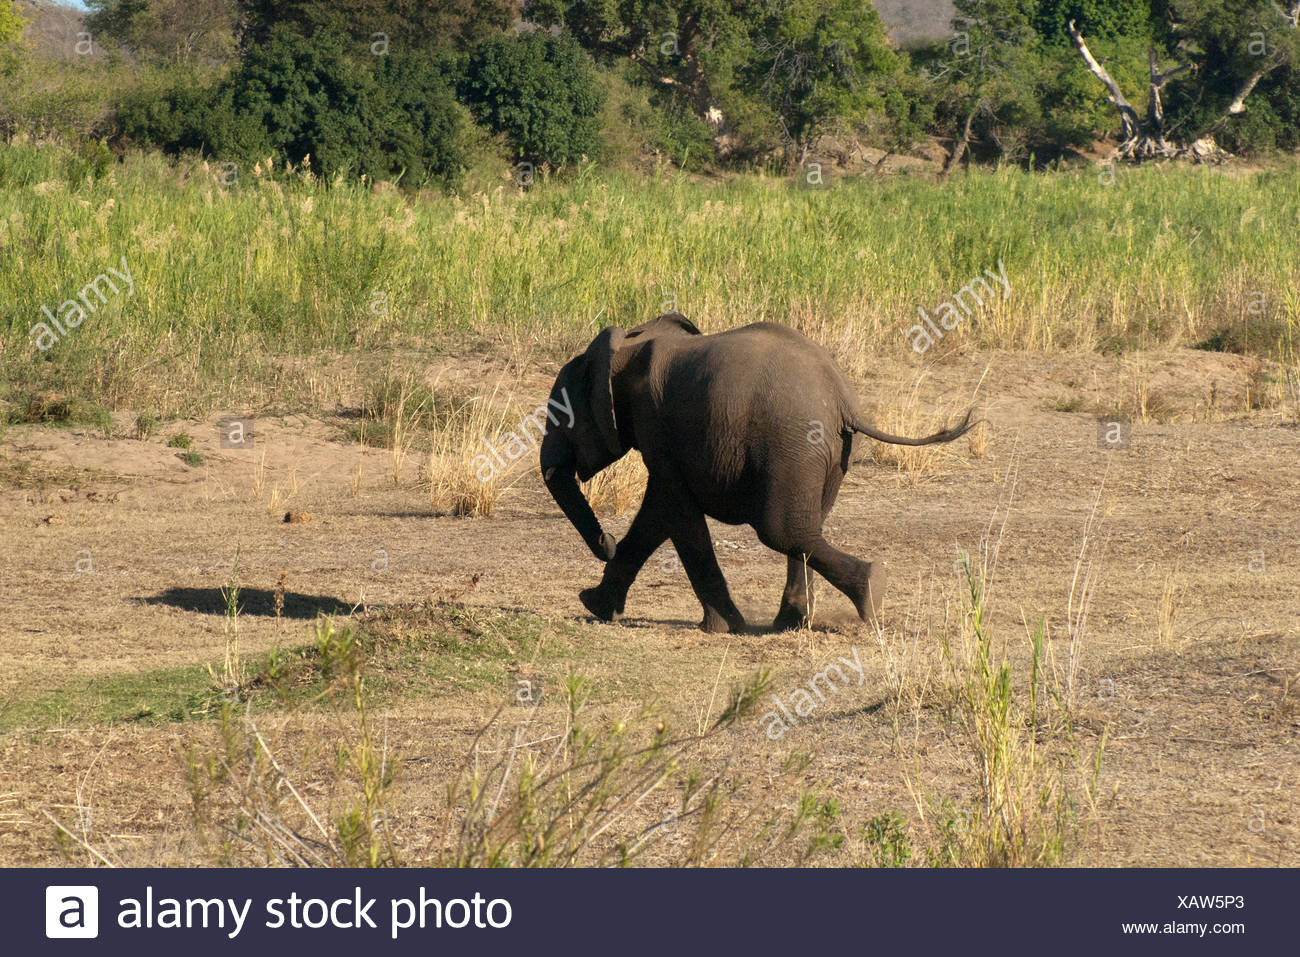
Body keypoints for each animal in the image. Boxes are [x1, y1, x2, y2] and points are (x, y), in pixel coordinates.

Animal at [539, 313, 975, 633]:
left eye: (560, 417)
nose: (606, 540)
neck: (627, 345)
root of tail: (843, 400)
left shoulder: (656, 426)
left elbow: (673, 510)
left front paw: (723, 628)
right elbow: (659, 515)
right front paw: (595, 605)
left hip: (793, 444)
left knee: (783, 530)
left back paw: (869, 591)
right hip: (825, 454)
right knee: (807, 525)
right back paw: (792, 622)